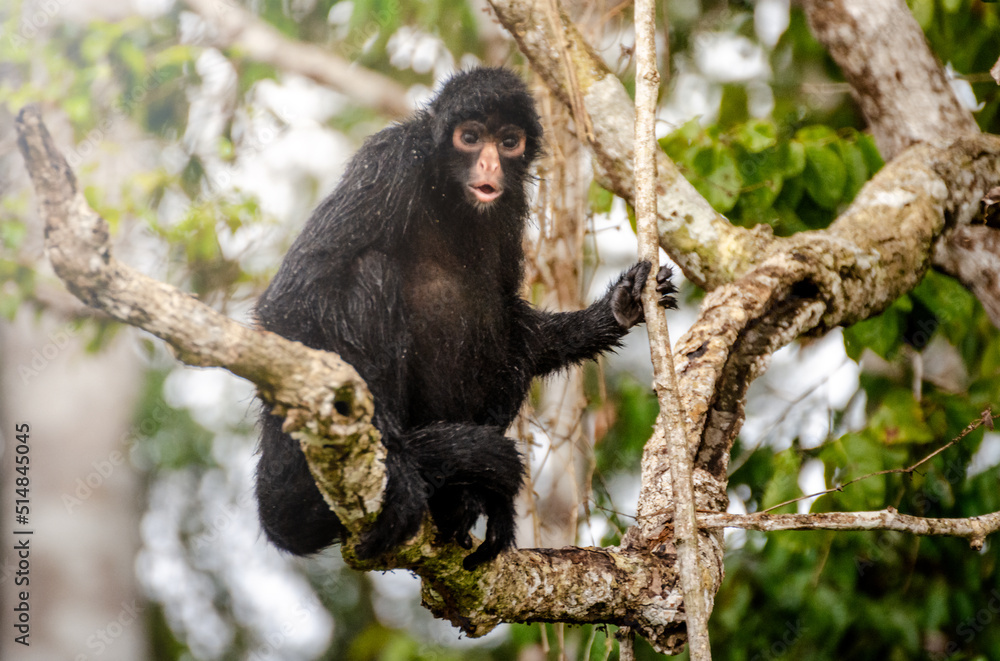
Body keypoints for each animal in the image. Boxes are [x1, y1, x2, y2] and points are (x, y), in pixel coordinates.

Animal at [254, 67, 677, 569]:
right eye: (470, 138)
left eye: (509, 142)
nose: (491, 166)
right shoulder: (390, 160)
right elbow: (287, 305)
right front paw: (398, 470)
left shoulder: (511, 205)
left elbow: (519, 326)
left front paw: (619, 307)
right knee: (369, 271)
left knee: (507, 338)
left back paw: (459, 498)